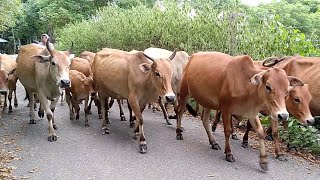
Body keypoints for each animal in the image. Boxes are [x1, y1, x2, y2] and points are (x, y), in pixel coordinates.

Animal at [176, 51, 304, 170]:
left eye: (287, 91)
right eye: (268, 86)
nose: (283, 115)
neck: (246, 84)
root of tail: (192, 56)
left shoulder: (252, 112)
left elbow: (260, 132)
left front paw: (263, 160)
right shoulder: (226, 109)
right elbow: (228, 131)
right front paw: (228, 153)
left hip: (207, 101)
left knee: (205, 120)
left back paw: (213, 143)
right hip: (184, 92)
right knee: (180, 111)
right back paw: (179, 132)